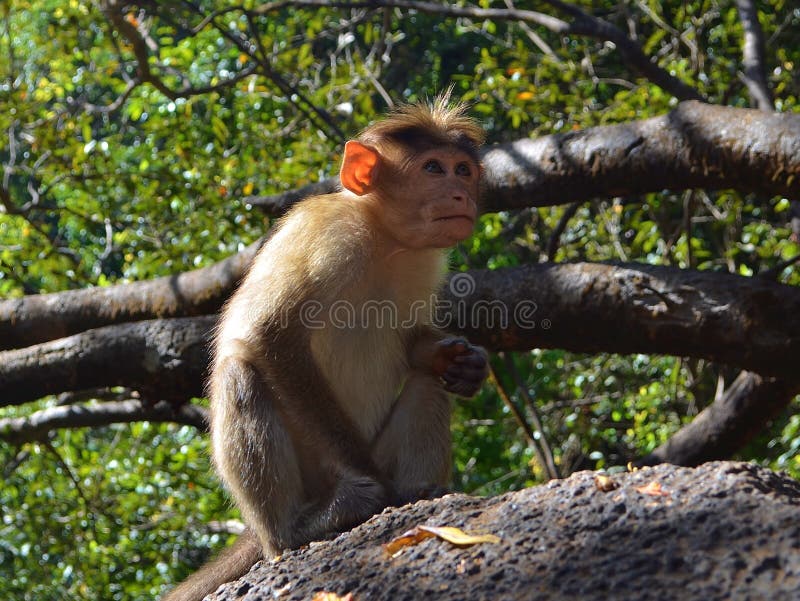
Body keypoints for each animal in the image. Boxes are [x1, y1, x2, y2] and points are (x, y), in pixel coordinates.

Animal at [164, 93, 488, 600]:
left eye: (464, 170)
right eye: (434, 168)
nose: (461, 194)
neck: (383, 238)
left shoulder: (427, 262)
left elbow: (414, 343)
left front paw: (464, 362)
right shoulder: (329, 234)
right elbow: (270, 335)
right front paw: (372, 481)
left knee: (426, 384)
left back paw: (418, 491)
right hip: (313, 477)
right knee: (241, 372)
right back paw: (304, 527)